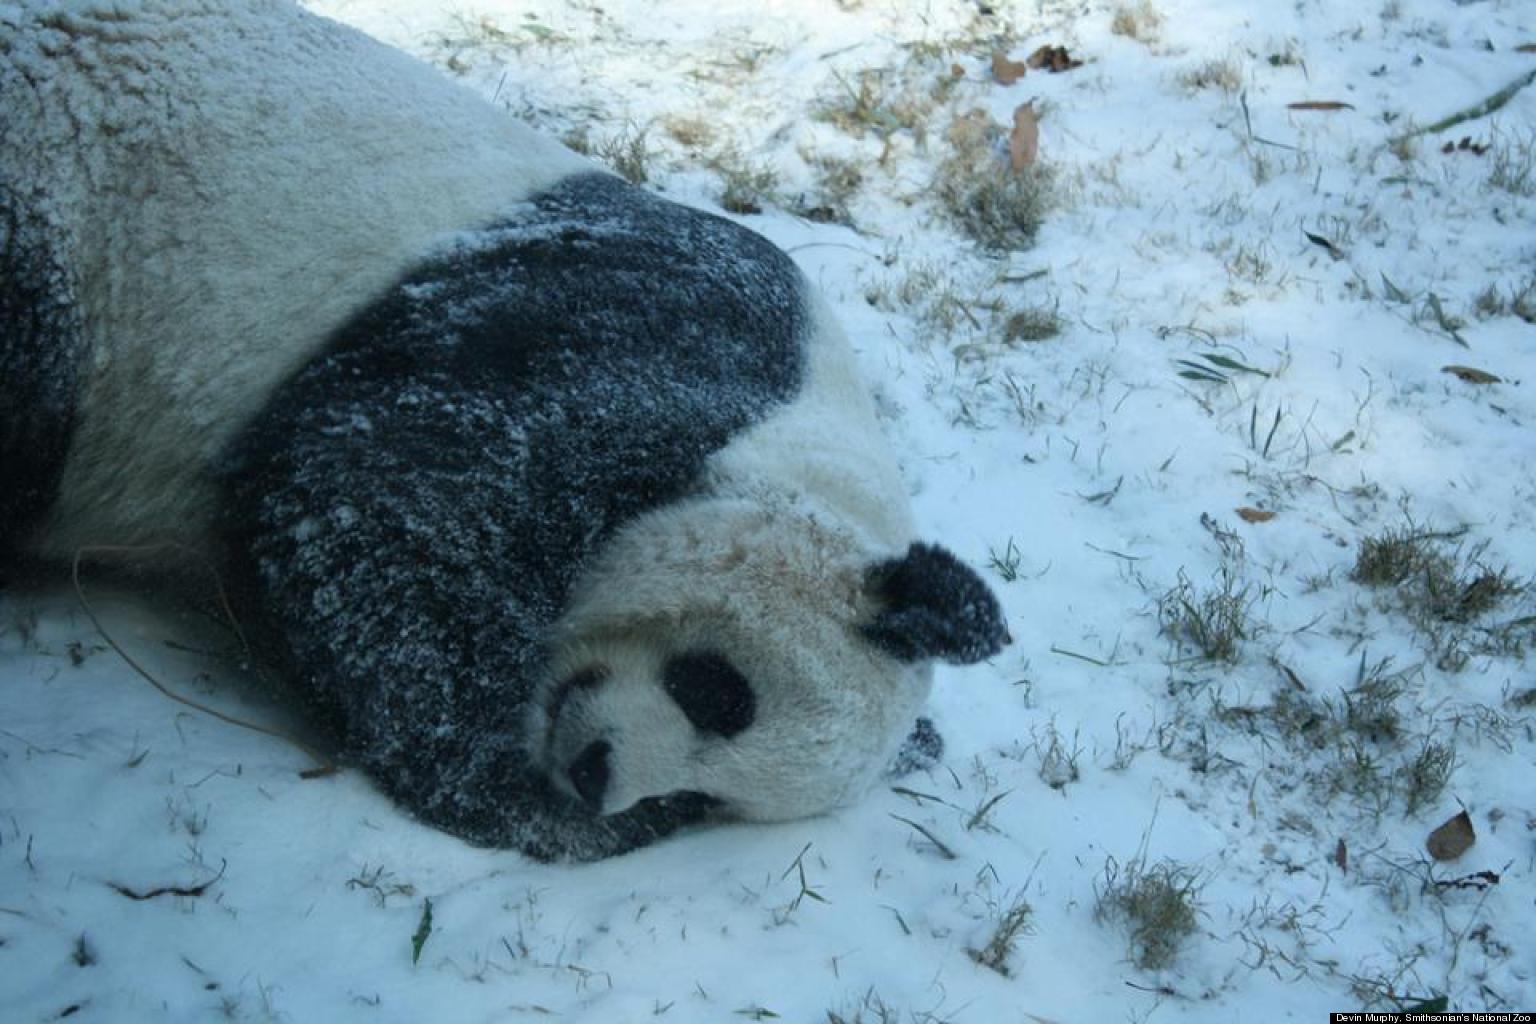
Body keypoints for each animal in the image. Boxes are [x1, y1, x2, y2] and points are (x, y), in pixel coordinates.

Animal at [0, 0, 1009, 861]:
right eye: (719, 692)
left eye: (706, 795)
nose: (599, 777)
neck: (796, 449)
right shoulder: (625, 346)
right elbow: (369, 495)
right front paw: (500, 786)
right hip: (60, 213)